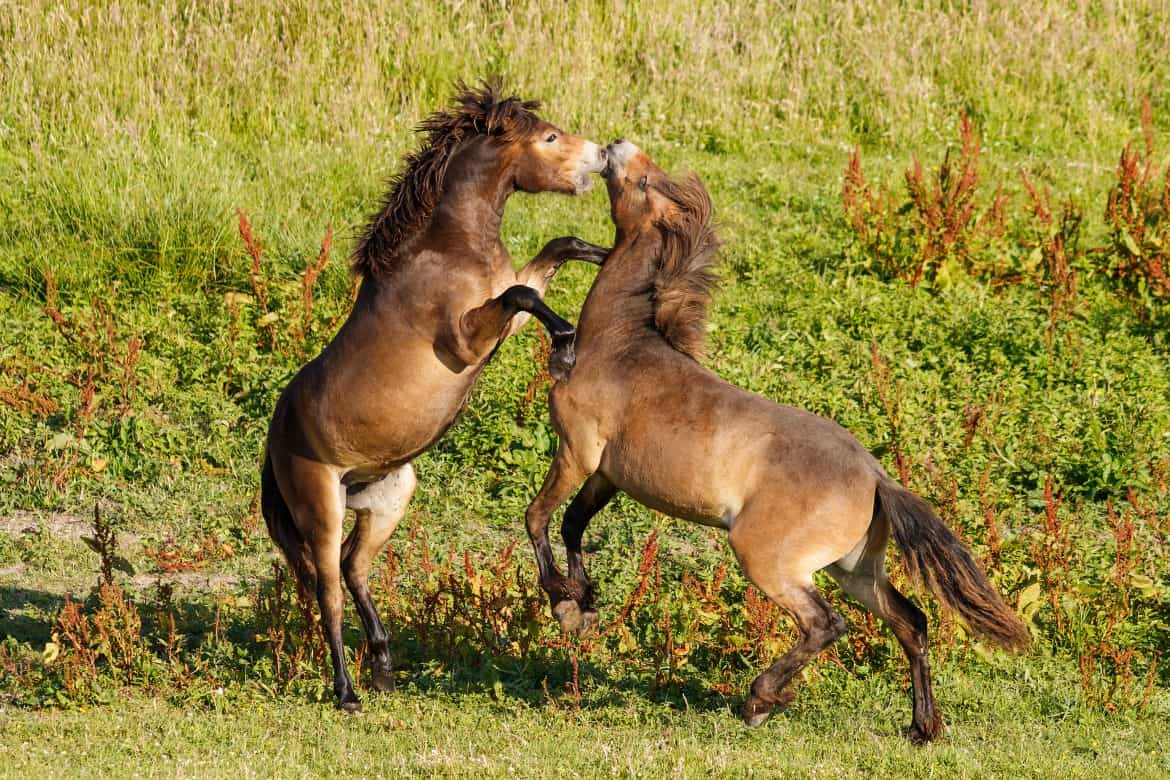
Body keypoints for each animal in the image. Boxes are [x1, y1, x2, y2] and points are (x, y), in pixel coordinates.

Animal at [261, 82, 609, 712]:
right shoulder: (467, 339)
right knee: (328, 589)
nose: (598, 156)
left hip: (389, 497)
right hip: (321, 509)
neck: (448, 248)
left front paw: (608, 252)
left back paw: (383, 666)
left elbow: (552, 253)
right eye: (549, 137)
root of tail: (273, 442)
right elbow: (525, 292)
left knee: (355, 568)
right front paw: (566, 348)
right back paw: (347, 691)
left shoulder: (500, 321)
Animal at [522, 140, 1029, 743]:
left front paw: (562, 600)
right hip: (854, 568)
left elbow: (539, 517)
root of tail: (876, 477)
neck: (616, 346)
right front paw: (582, 605)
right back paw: (921, 727)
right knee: (911, 621)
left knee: (826, 624)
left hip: (768, 560)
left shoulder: (577, 452)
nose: (616, 147)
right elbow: (574, 524)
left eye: (644, 181)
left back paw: (759, 700)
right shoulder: (606, 474)